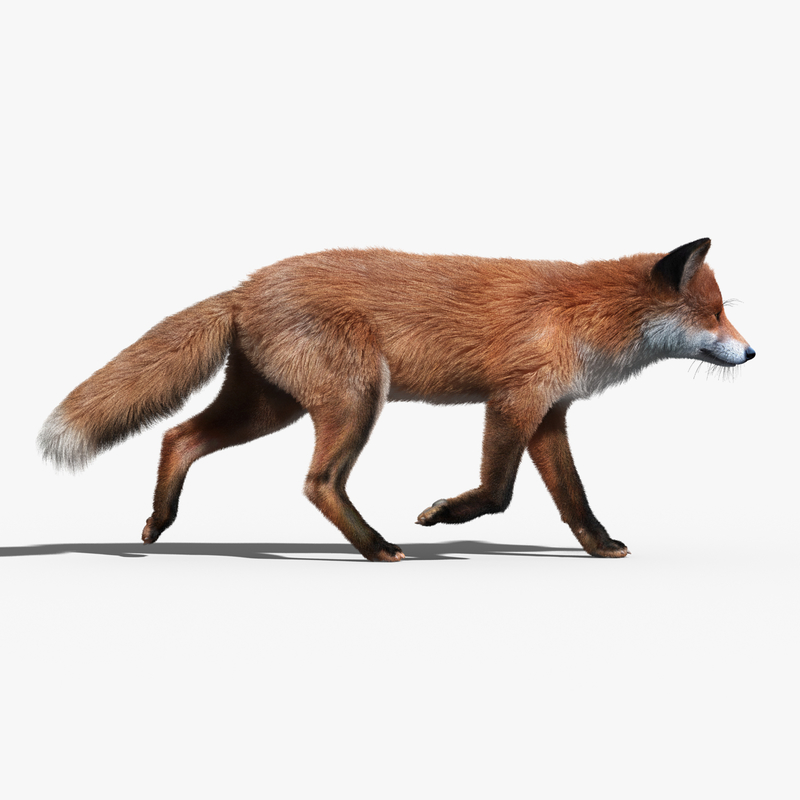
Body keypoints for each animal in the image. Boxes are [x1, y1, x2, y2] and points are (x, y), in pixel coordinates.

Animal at [38, 238, 754, 561]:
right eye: (714, 315)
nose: (752, 354)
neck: (587, 315)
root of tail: (243, 287)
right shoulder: (513, 401)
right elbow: (499, 493)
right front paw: (444, 516)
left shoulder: (549, 414)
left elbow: (573, 497)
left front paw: (601, 546)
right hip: (356, 400)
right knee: (318, 482)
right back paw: (377, 546)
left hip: (270, 407)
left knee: (177, 436)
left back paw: (159, 523)